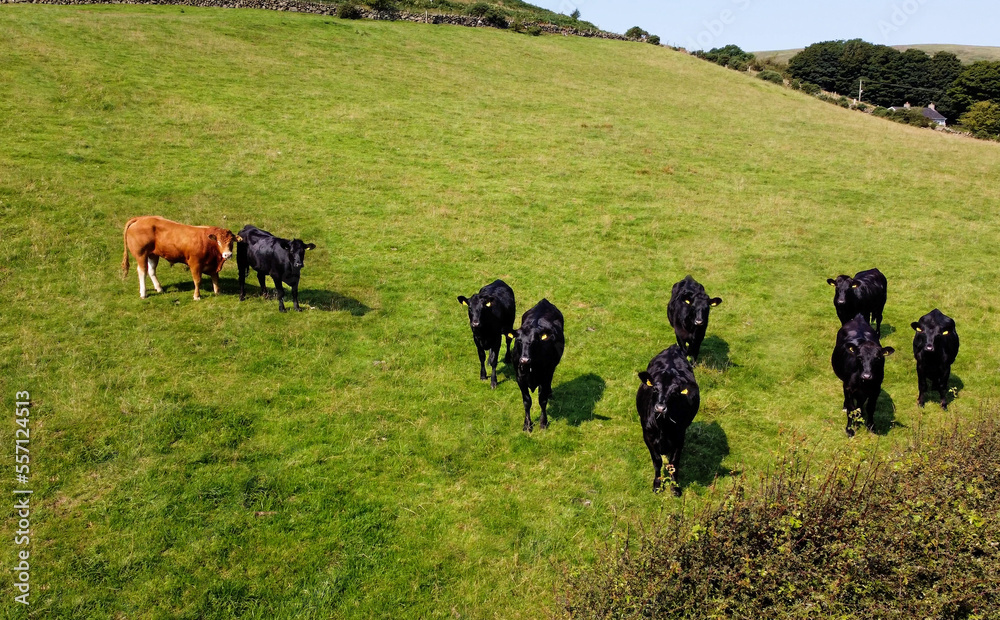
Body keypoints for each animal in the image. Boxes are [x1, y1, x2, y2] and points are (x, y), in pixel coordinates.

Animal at [511, 299, 564, 432]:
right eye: (519, 340)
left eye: (534, 341)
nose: (524, 360)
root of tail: (544, 302)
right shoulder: (519, 379)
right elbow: (527, 401)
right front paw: (527, 425)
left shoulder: (545, 377)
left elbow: (542, 400)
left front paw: (543, 422)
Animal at [636, 345, 699, 495]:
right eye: (655, 388)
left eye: (675, 392)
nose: (660, 408)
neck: (662, 426)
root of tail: (673, 348)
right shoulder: (647, 434)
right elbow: (657, 460)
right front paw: (657, 484)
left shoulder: (680, 436)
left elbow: (674, 462)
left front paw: (675, 487)